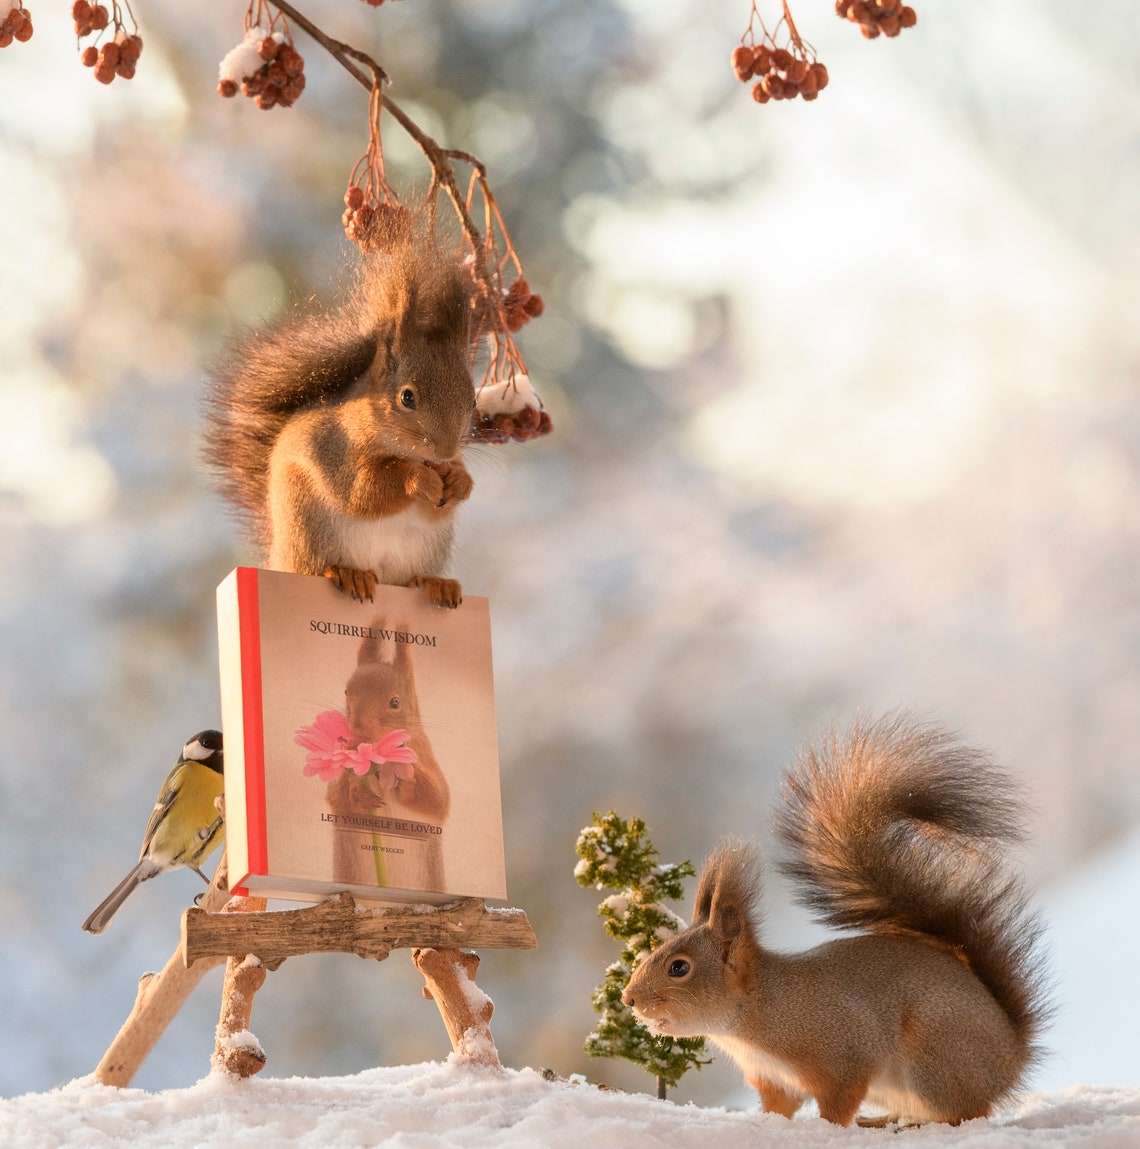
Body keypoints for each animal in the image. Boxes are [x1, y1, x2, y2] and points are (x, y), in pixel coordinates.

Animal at [204, 235, 477, 608]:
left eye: (473, 400)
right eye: (407, 398)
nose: (446, 450)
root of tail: (280, 556)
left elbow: (439, 507)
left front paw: (461, 482)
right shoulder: (336, 449)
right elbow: (363, 490)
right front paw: (417, 478)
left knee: (411, 580)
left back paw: (434, 583)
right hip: (309, 527)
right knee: (322, 566)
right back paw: (350, 574)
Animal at [622, 713, 1051, 1127]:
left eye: (679, 967)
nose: (628, 999)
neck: (759, 1008)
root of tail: (1011, 1055)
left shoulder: (844, 1054)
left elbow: (839, 1101)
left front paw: (826, 1129)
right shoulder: (774, 1079)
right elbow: (778, 1108)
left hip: (936, 1062)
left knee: (968, 1112)